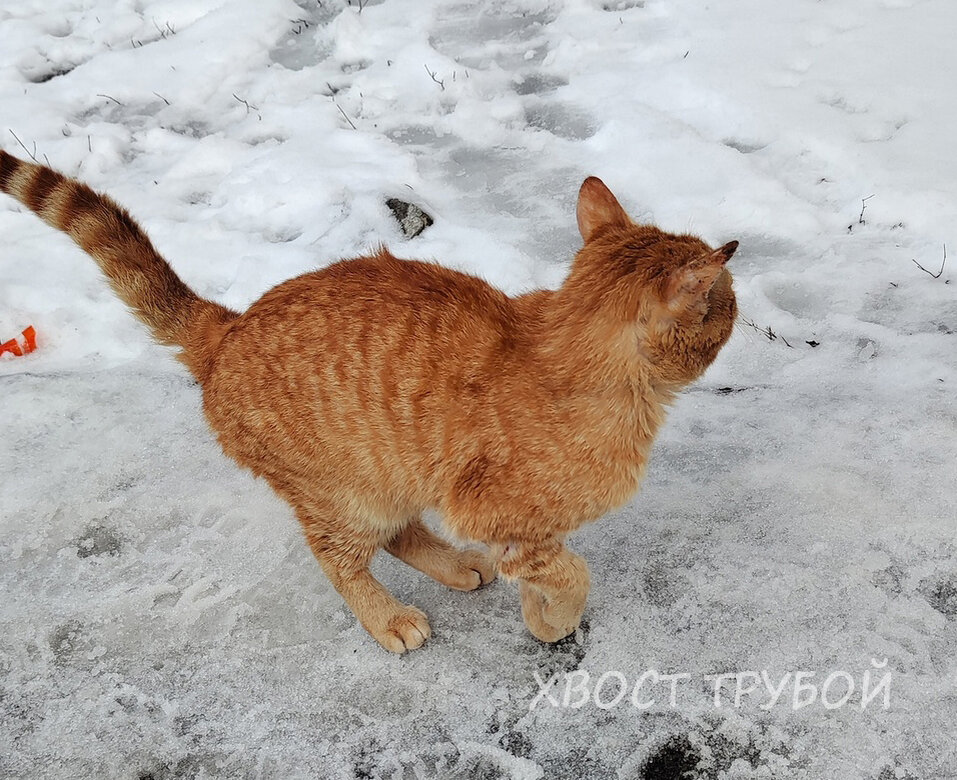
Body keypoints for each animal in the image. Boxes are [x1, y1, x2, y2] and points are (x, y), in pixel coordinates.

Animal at [0, 151, 740, 652]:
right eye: (727, 301)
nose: (739, 305)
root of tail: (228, 326)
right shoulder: (500, 514)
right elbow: (568, 572)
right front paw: (552, 621)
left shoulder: (503, 518)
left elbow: (545, 565)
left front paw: (532, 606)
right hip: (342, 494)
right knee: (340, 557)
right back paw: (388, 619)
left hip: (393, 473)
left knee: (401, 530)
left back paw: (457, 565)